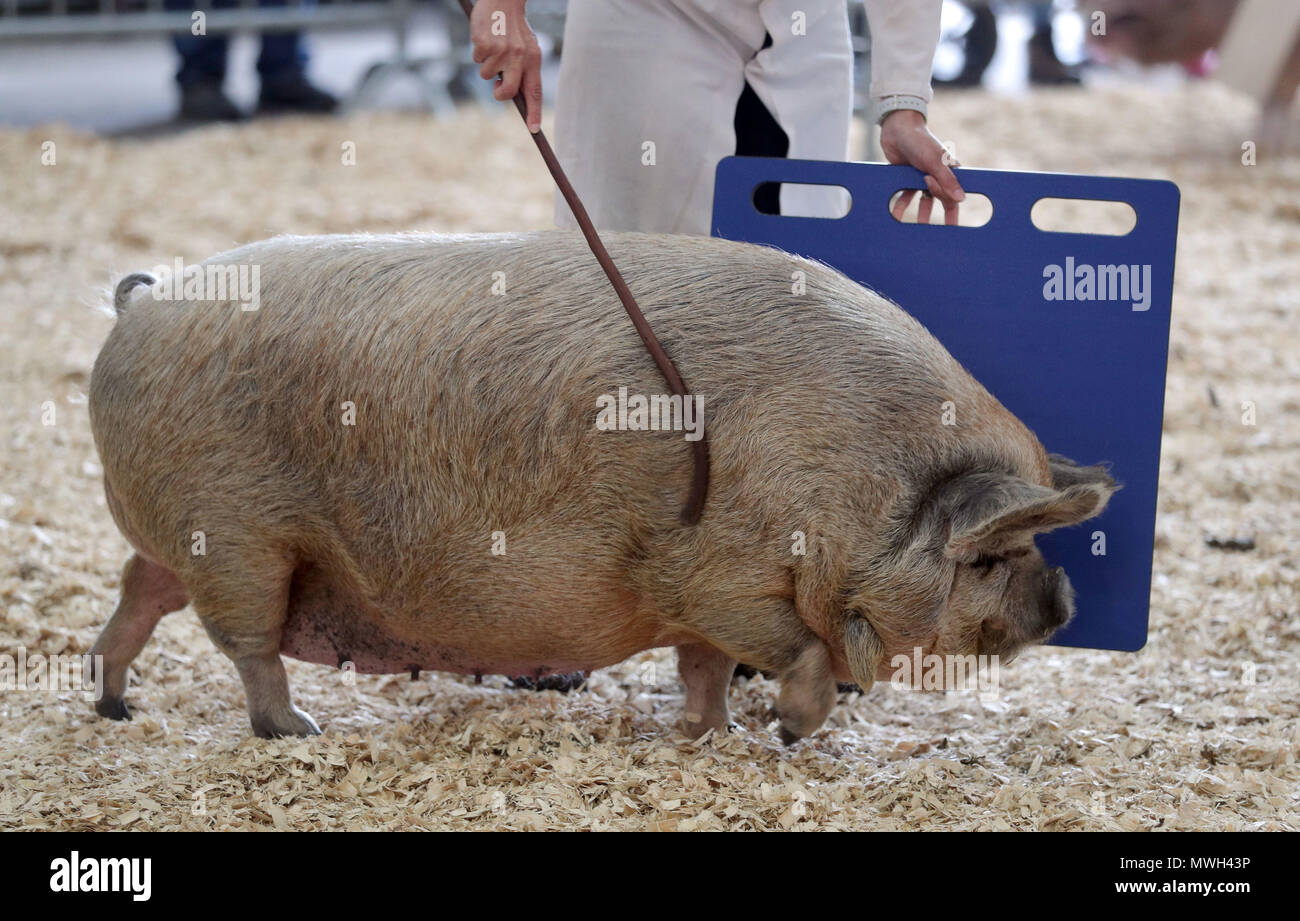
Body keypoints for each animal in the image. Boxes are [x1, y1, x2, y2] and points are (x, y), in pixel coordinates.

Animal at [87, 232, 1116, 742]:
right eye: (989, 554)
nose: (1063, 602)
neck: (847, 485)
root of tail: (141, 301)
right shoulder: (711, 573)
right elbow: (793, 650)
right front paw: (788, 731)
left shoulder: (695, 599)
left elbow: (705, 668)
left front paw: (708, 737)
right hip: (239, 534)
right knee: (246, 643)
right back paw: (295, 730)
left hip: (186, 539)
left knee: (137, 593)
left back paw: (114, 706)